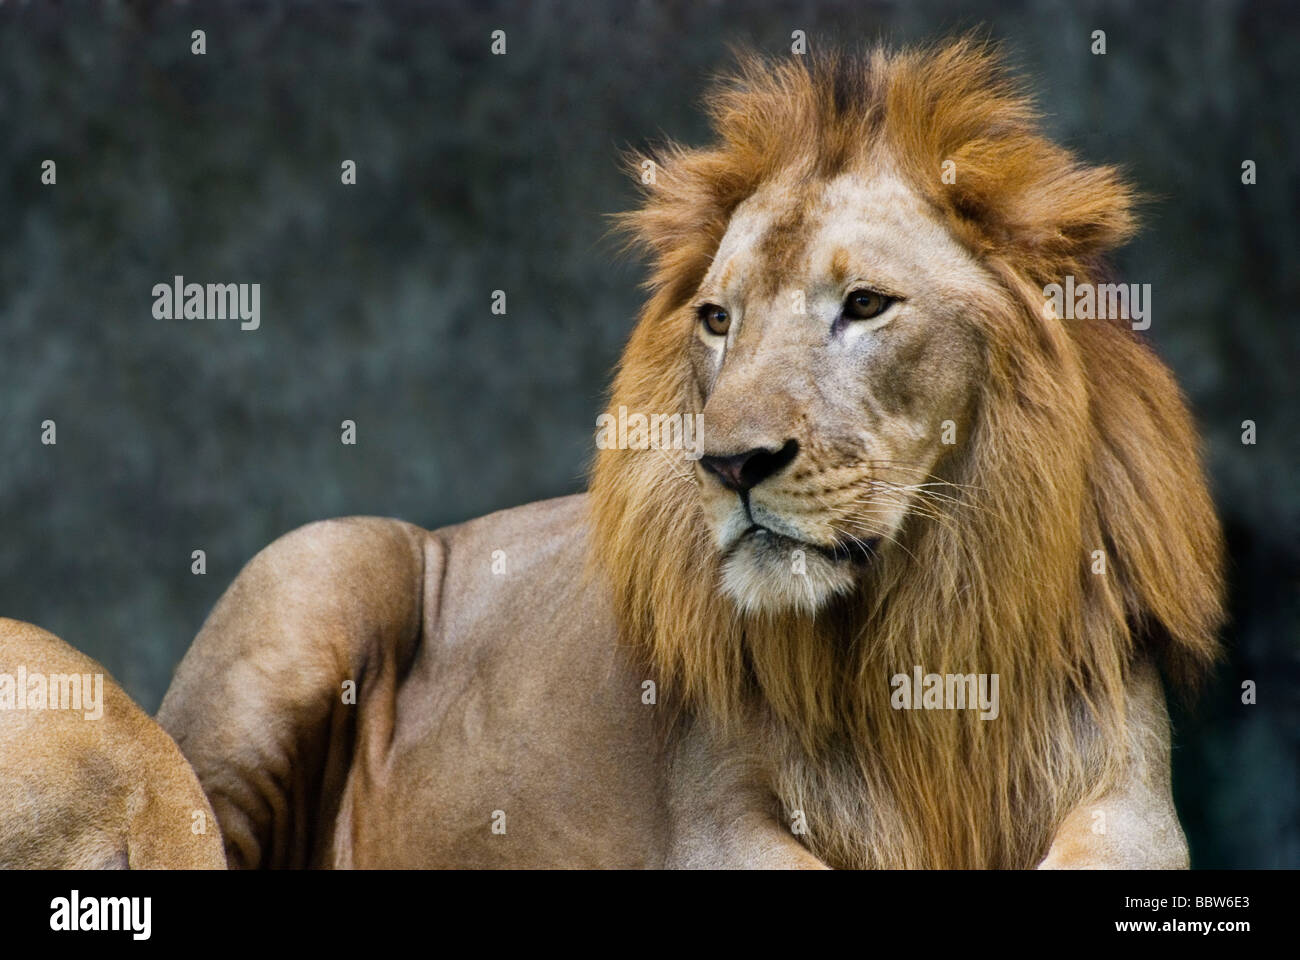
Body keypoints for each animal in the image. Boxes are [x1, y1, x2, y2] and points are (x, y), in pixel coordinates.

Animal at [157, 39, 1223, 869]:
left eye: (865, 304)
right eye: (718, 319)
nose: (730, 466)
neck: (918, 612)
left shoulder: (1129, 797)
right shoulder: (713, 818)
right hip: (319, 572)